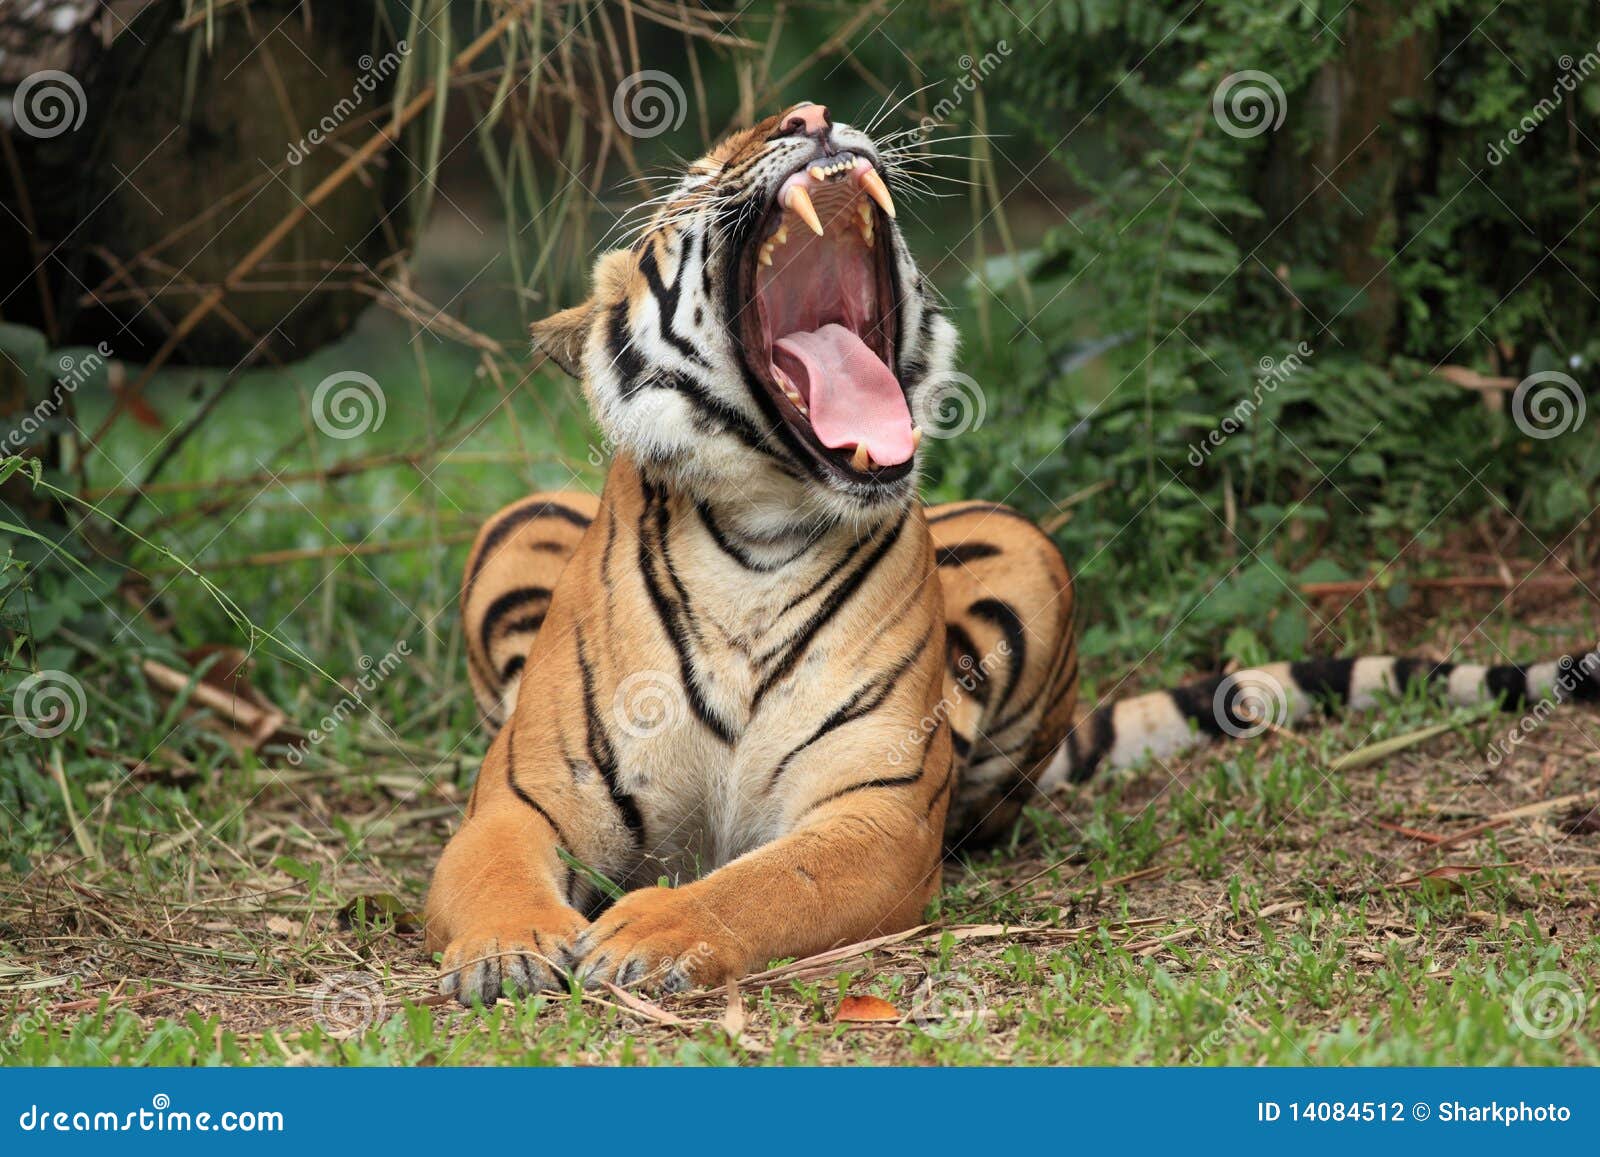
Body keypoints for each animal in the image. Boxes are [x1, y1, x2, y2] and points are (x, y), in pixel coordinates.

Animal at [425, 101, 1600, 1003]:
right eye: (697, 180)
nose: (807, 117)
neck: (758, 533)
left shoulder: (875, 809)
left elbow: (759, 881)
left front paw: (649, 930)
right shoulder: (526, 799)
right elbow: (493, 874)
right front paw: (509, 949)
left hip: (1029, 558)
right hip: (514, 523)